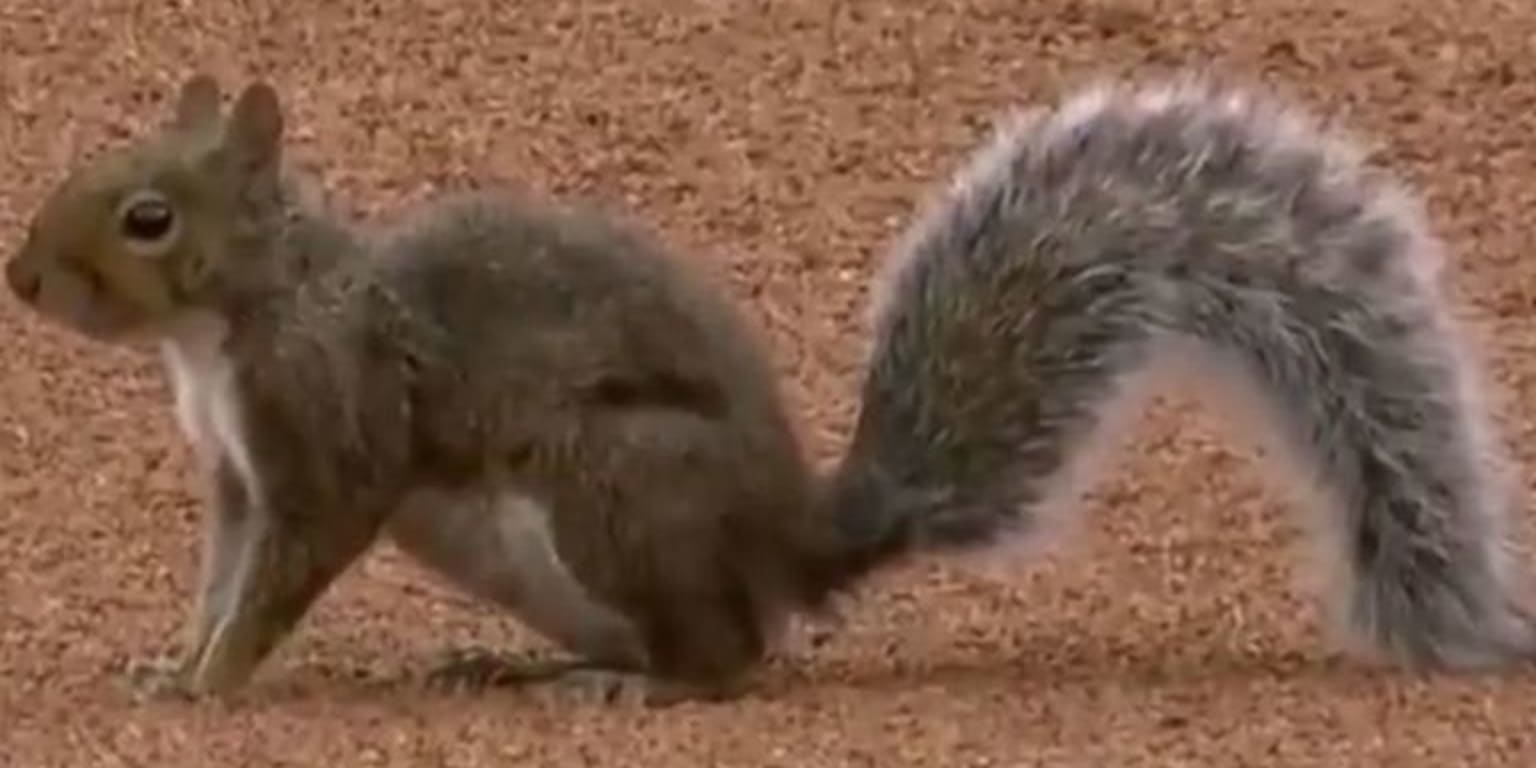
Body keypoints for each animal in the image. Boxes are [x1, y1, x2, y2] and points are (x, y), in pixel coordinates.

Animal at [6, 72, 1533, 707]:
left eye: (148, 217)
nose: (21, 278)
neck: (246, 311)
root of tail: (789, 539)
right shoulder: (233, 473)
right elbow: (222, 573)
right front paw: (173, 661)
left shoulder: (329, 437)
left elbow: (281, 576)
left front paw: (212, 686)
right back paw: (532, 662)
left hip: (609, 488)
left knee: (728, 658)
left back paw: (628, 689)